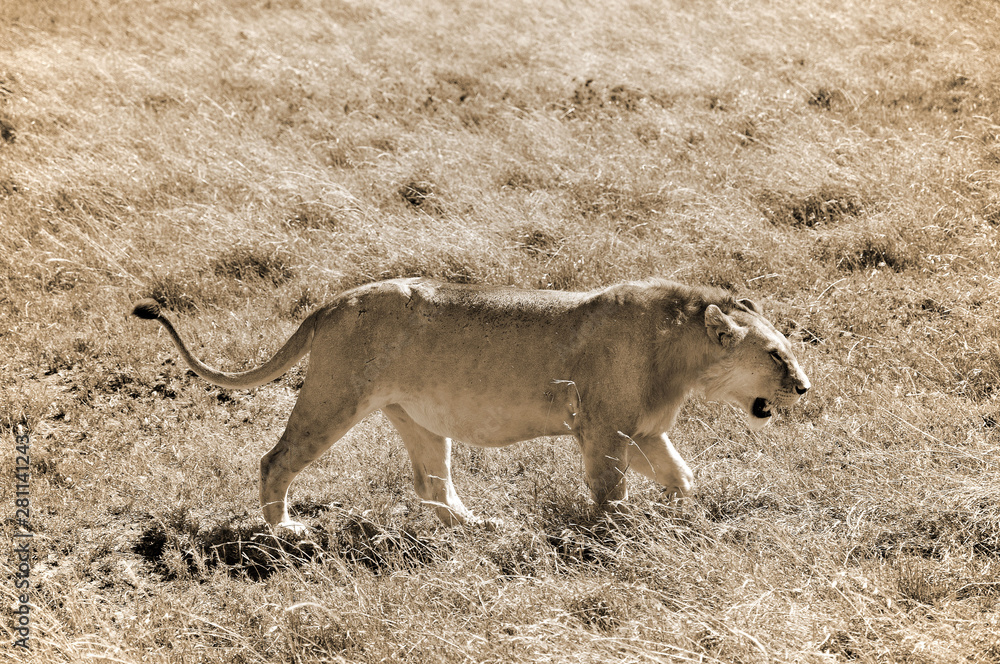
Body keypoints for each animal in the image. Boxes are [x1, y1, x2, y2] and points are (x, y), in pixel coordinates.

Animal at [131, 278, 810, 533]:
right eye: (777, 354)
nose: (803, 388)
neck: (682, 354)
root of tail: (335, 300)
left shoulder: (641, 432)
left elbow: (681, 475)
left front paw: (687, 516)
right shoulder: (603, 430)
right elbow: (609, 491)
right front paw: (613, 536)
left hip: (417, 419)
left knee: (432, 486)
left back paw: (479, 526)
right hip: (335, 398)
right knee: (275, 459)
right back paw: (285, 532)